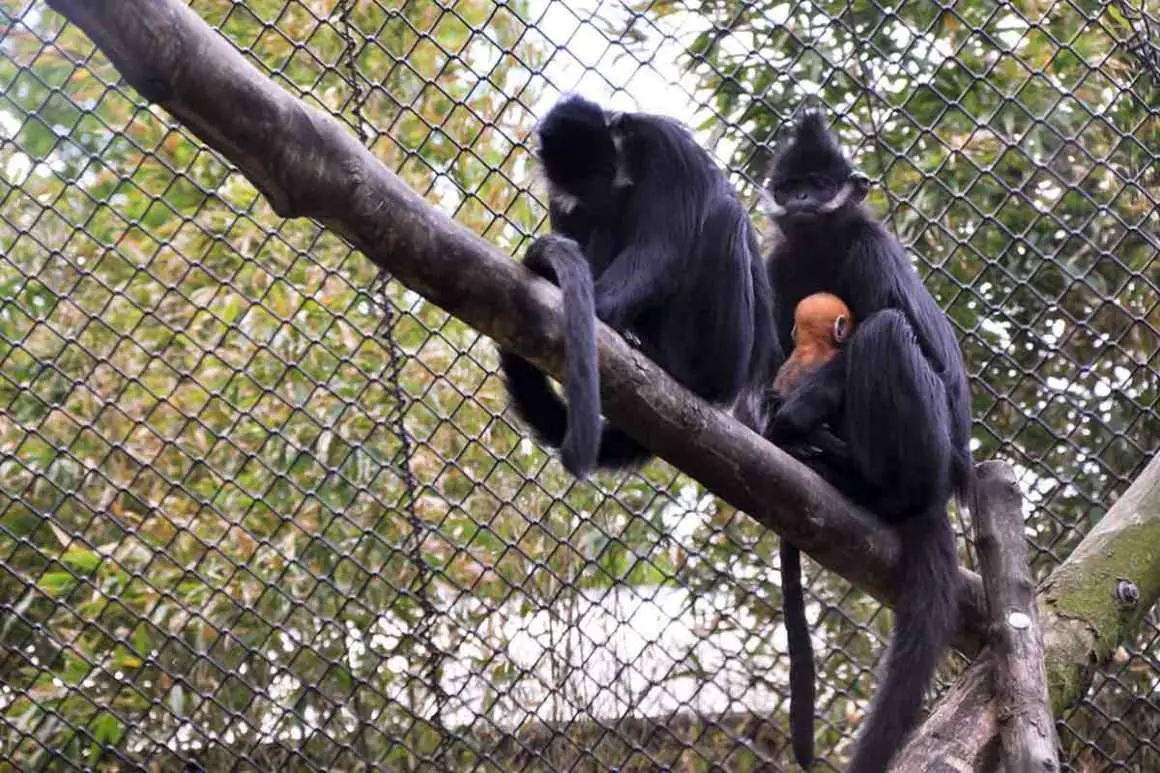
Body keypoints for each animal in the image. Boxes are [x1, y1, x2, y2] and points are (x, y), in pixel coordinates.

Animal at [499, 94, 781, 477]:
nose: (599, 194)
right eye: (580, 182)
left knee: (725, 215)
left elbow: (663, 248)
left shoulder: (664, 145)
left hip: (726, 353)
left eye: (603, 172)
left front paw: (598, 307)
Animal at [761, 109, 976, 773]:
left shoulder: (870, 248)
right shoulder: (778, 265)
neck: (823, 245)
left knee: (886, 331)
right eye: (792, 185)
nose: (802, 200)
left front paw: (796, 416)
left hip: (930, 452)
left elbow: (921, 349)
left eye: (816, 184)